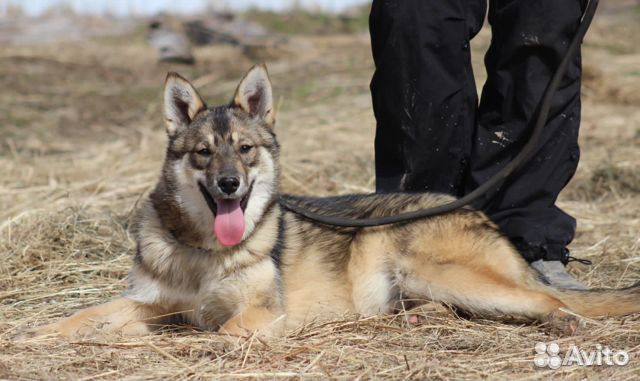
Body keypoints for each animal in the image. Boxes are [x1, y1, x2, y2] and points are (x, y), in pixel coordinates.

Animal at [21, 63, 640, 336]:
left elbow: (216, 330)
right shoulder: (148, 300)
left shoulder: (258, 314)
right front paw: (37, 334)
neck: (203, 251)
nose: (229, 186)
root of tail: (473, 208)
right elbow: (86, 315)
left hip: (446, 273)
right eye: (203, 154)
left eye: (244, 150)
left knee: (552, 303)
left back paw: (566, 326)